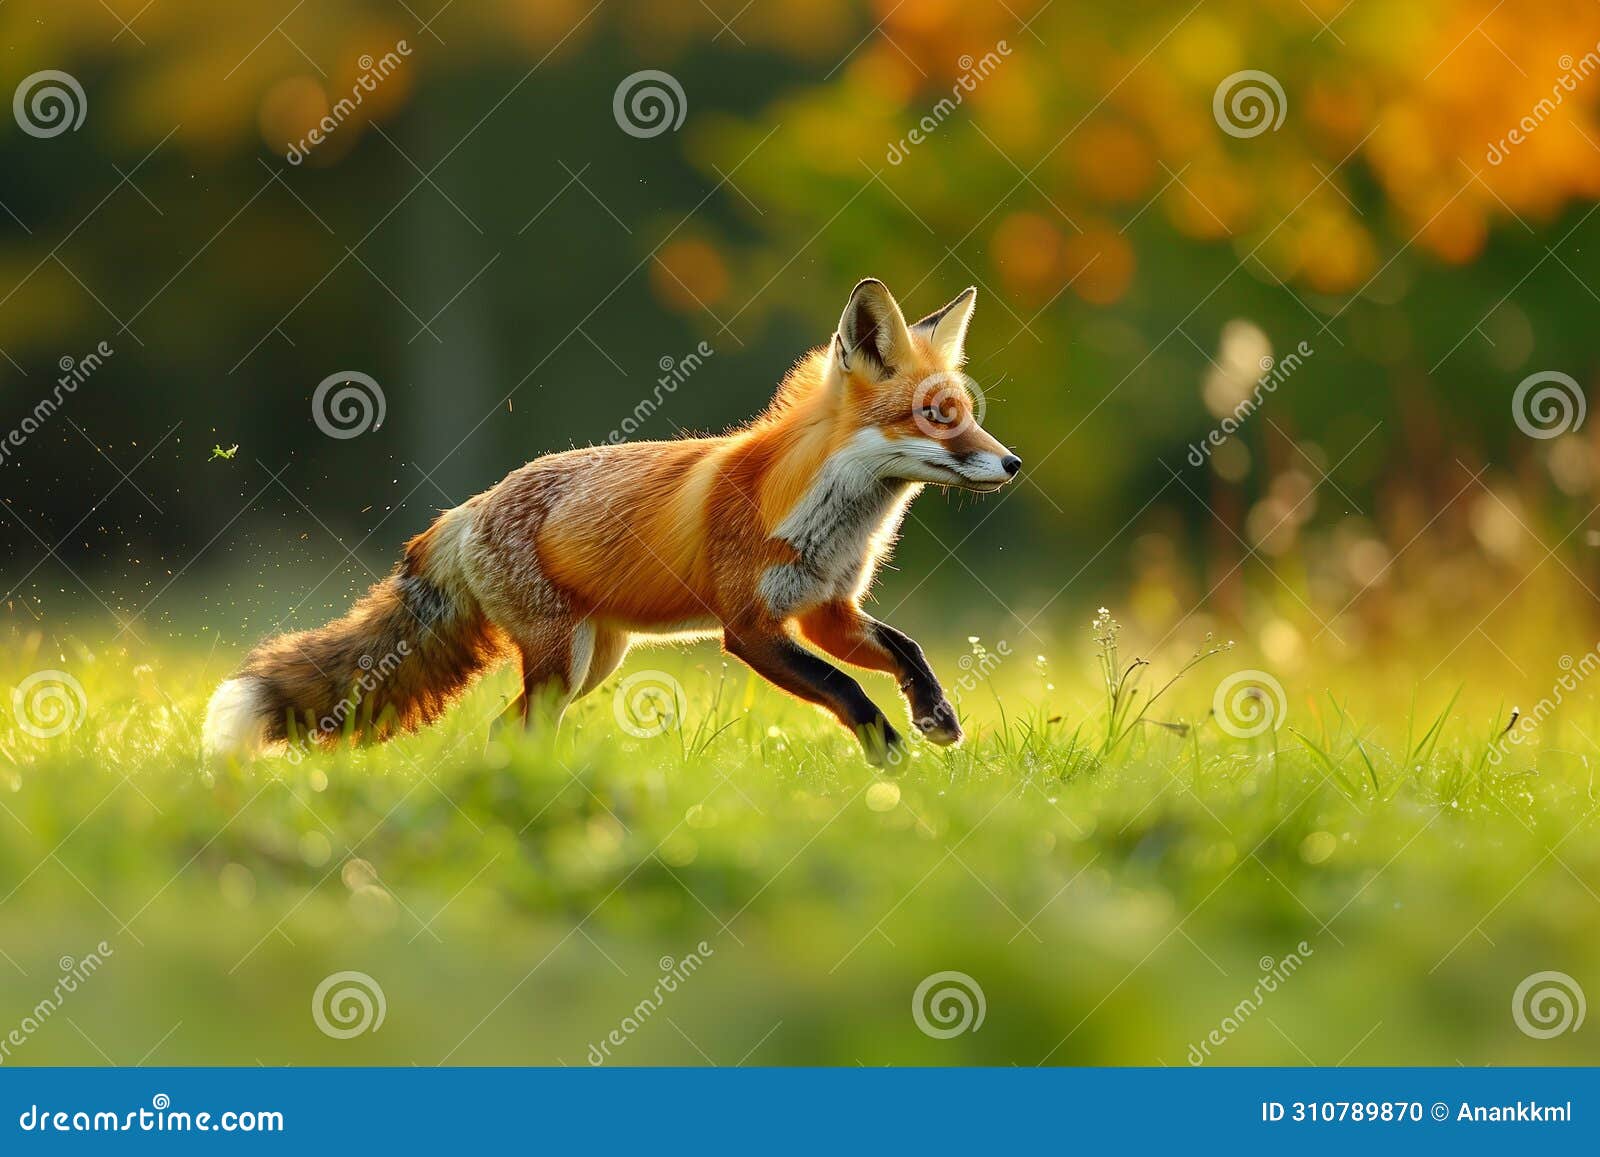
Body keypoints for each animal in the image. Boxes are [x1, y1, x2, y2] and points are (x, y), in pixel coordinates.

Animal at [202, 279, 1021, 765]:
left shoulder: (826, 609)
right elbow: (845, 688)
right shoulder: (750, 627)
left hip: (593, 661)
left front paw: (936, 716)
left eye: (968, 413)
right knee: (520, 727)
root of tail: (466, 510)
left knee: (507, 729)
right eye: (938, 417)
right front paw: (893, 761)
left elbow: (907, 648)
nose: (1012, 463)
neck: (828, 515)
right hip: (565, 661)